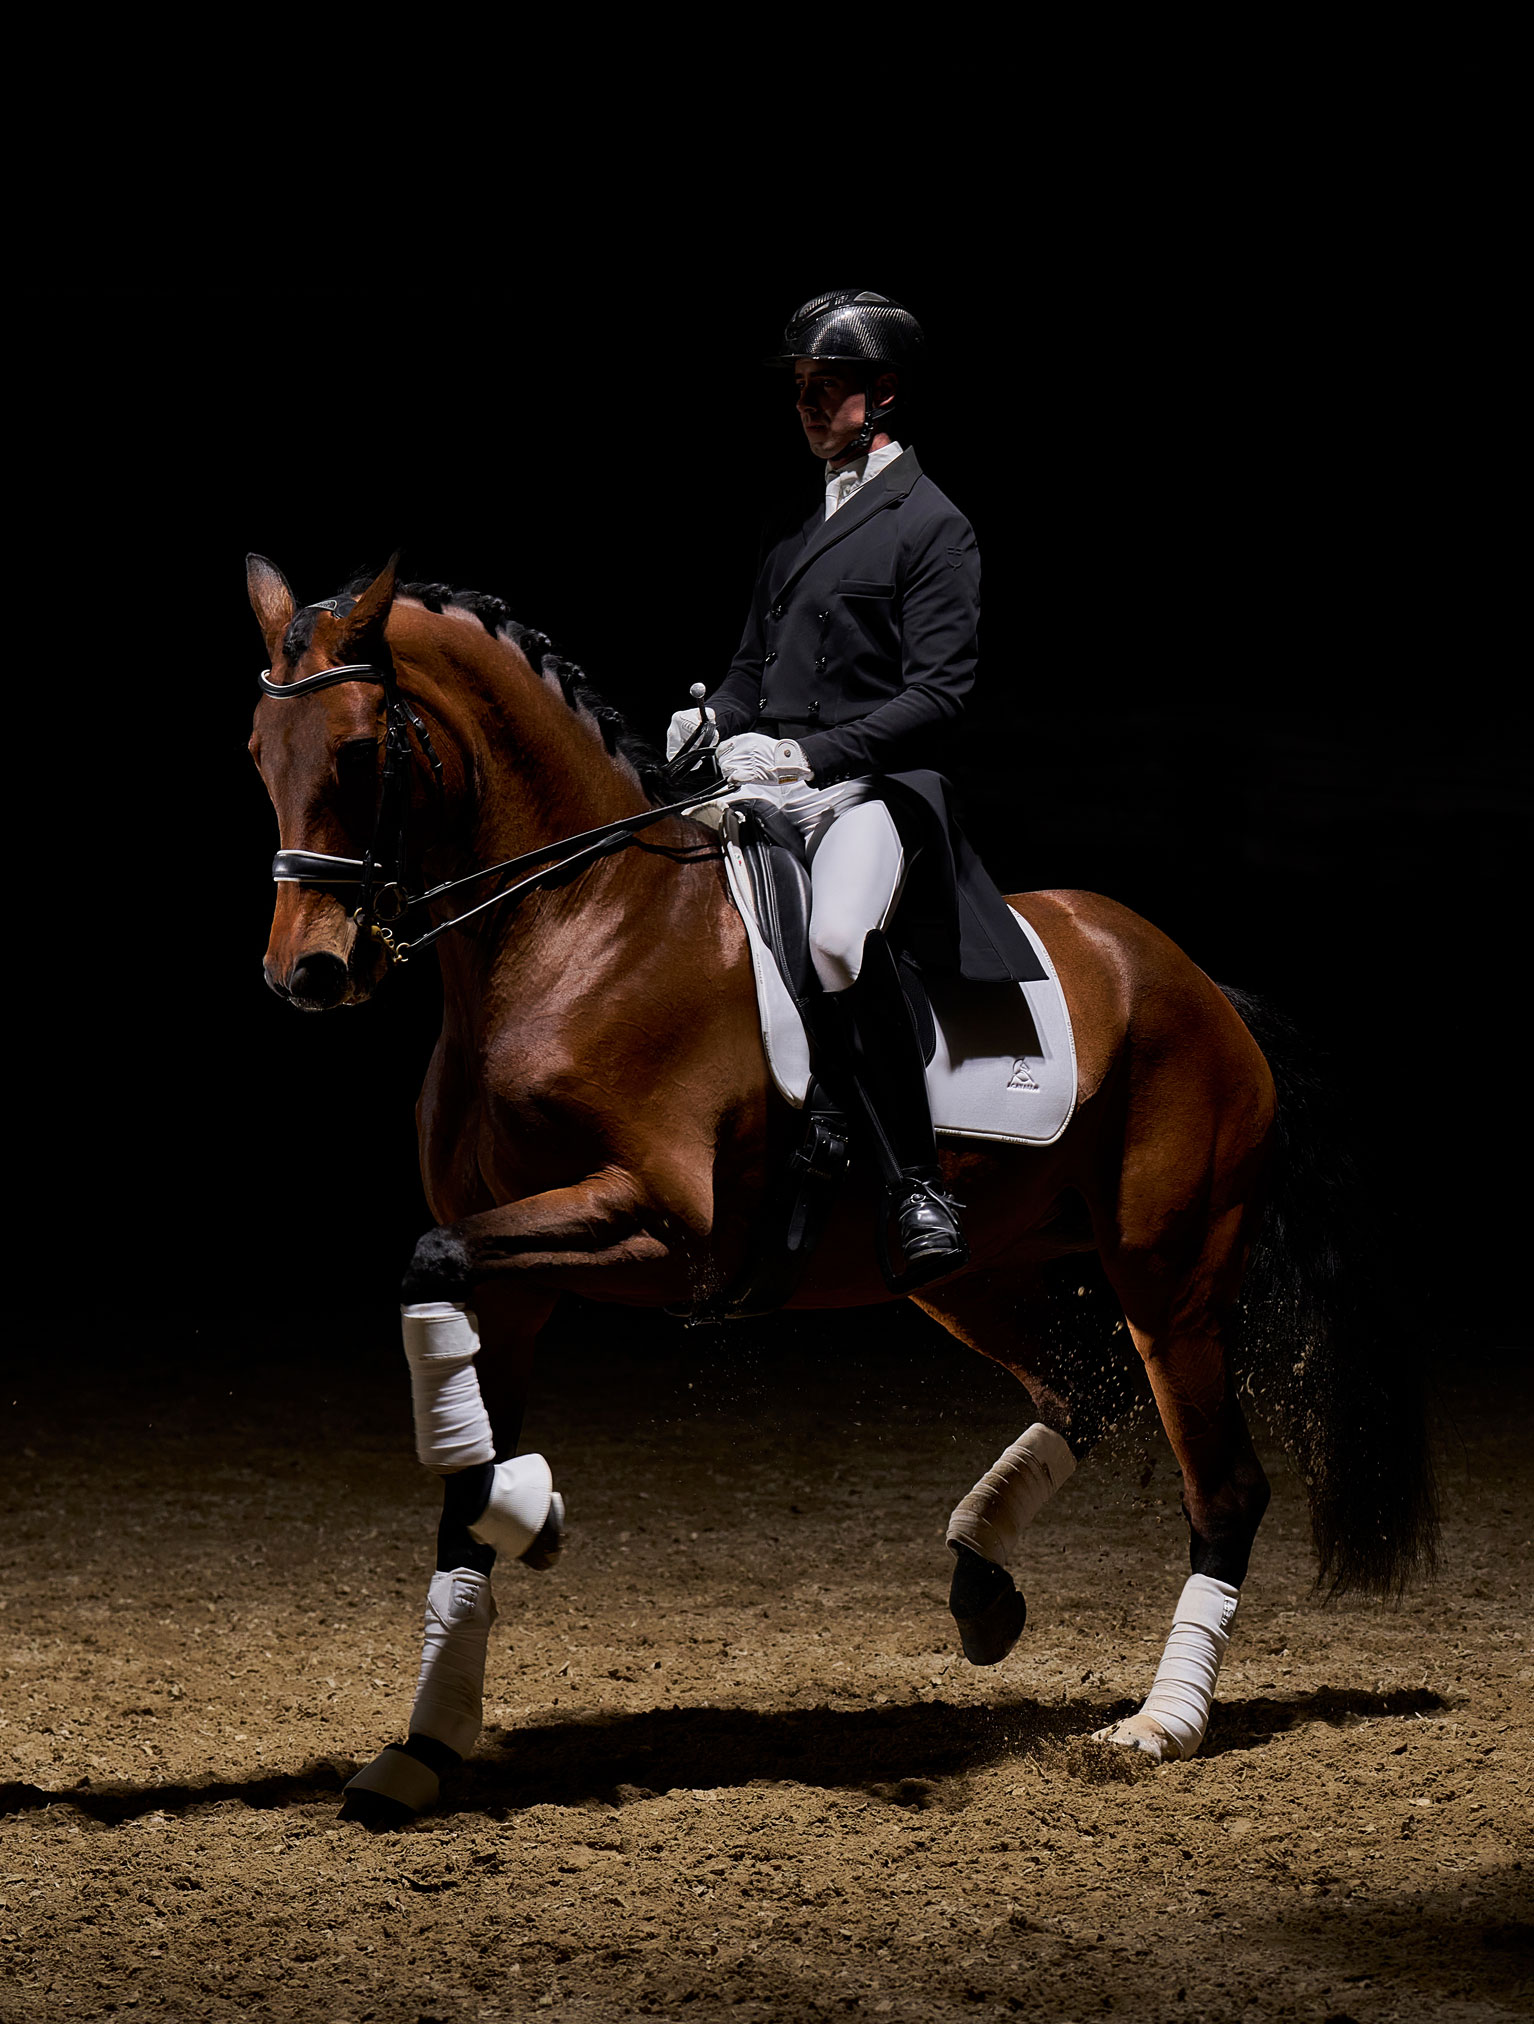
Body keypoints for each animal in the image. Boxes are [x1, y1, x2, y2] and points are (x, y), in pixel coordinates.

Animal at [246, 552, 1437, 1825]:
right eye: (258, 749)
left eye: (358, 751)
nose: (306, 971)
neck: (577, 933)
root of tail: (1202, 983)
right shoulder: (510, 1284)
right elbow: (453, 1470)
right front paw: (424, 1740)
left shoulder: (673, 1233)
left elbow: (426, 1266)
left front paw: (534, 1511)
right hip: (974, 1271)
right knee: (1087, 1384)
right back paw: (983, 1580)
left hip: (1170, 1278)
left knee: (1223, 1487)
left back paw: (1158, 1723)